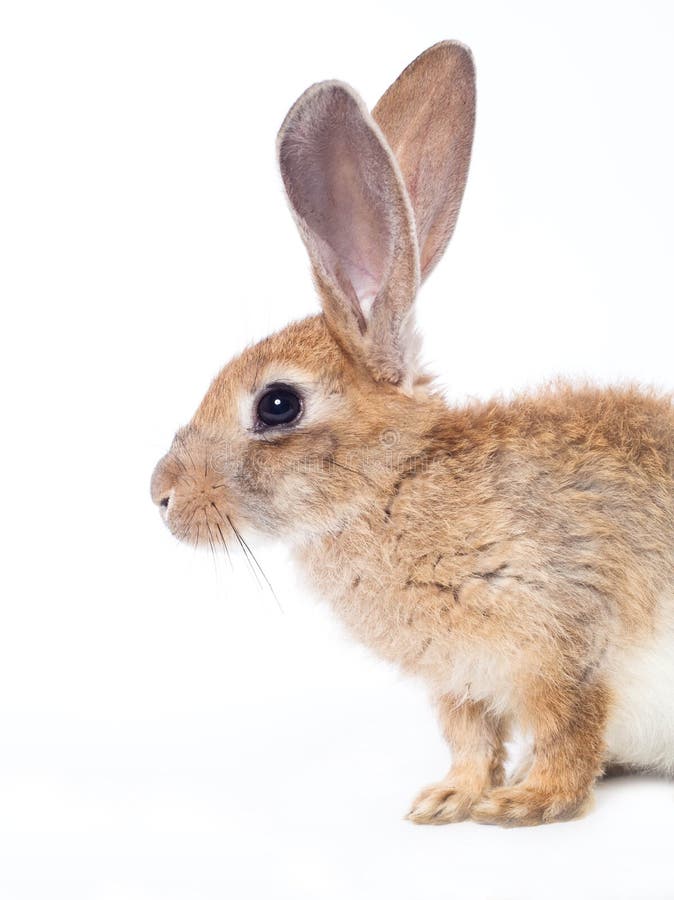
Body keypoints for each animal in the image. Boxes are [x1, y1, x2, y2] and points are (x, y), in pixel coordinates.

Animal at [151, 41, 674, 826]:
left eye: (276, 404)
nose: (161, 495)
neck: (392, 483)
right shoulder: (459, 681)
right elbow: (469, 738)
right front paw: (446, 799)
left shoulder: (560, 638)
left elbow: (567, 728)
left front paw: (524, 805)